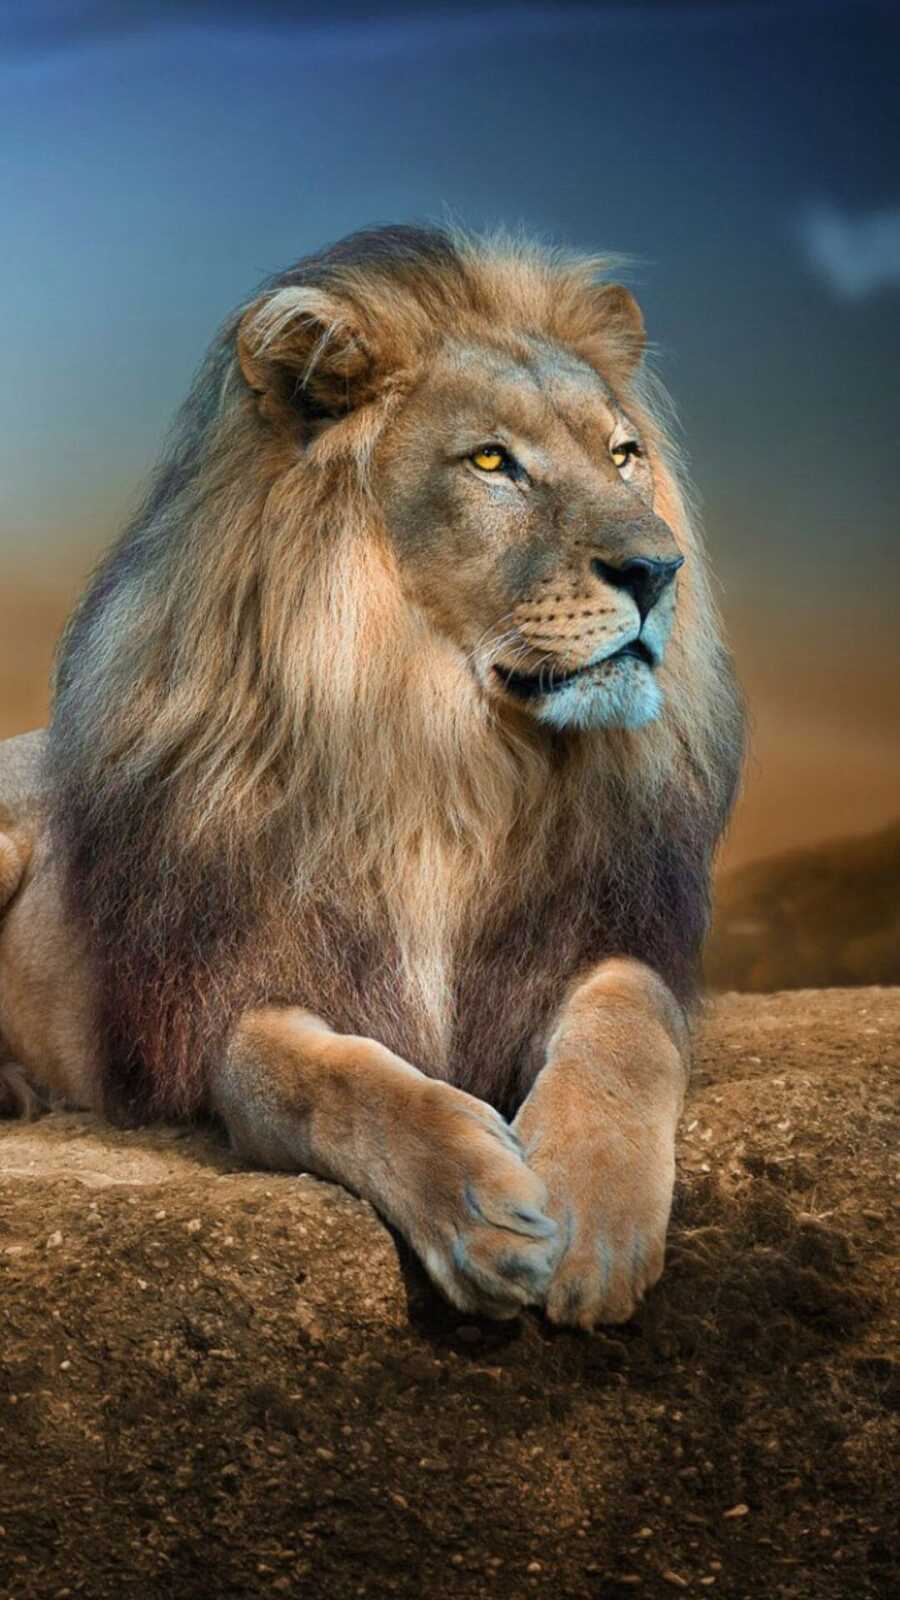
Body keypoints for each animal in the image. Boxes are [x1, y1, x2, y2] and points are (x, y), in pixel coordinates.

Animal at [0, 224, 743, 1327]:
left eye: (624, 454)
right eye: (492, 462)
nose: (658, 571)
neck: (446, 758)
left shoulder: (598, 933)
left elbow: (629, 1020)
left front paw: (593, 1217)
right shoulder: (234, 996)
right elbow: (324, 1077)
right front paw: (481, 1208)